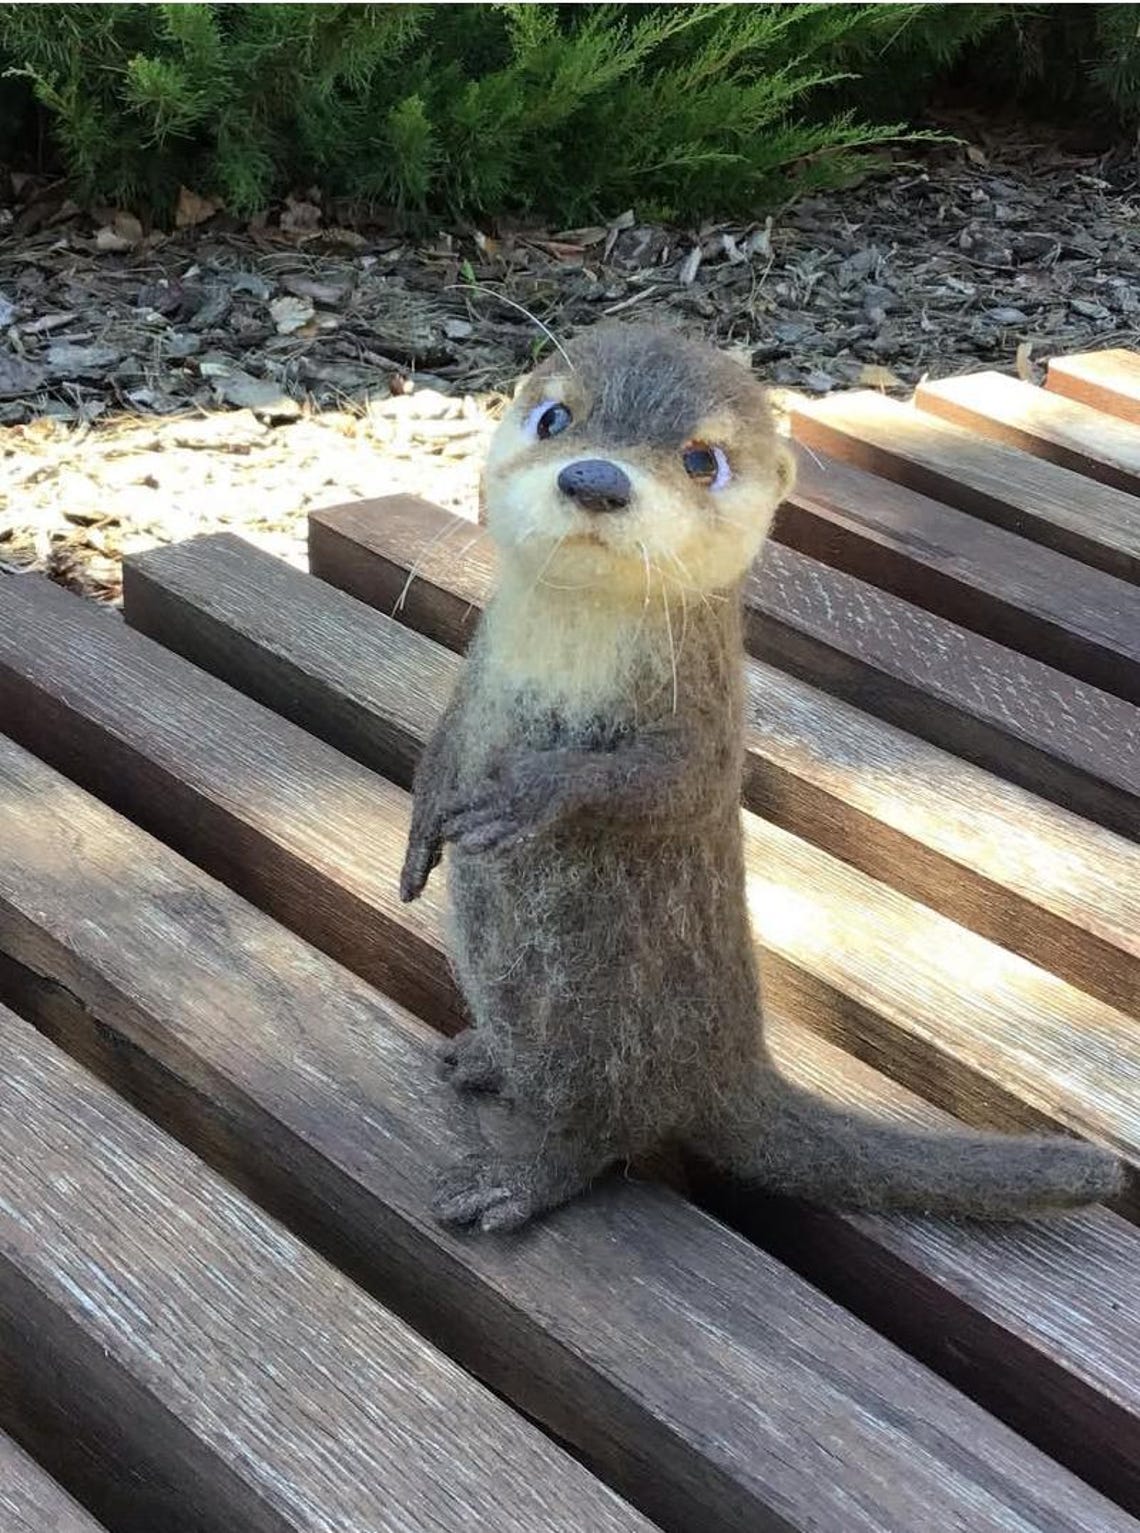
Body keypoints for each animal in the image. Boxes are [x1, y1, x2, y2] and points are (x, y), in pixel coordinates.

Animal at [399, 322, 1123, 1233]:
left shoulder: (707, 722)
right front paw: (421, 835)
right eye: (555, 417)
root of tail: (732, 1068)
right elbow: (441, 745)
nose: (595, 478)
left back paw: (513, 1180)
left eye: (701, 458)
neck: (562, 660)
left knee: (599, 1134)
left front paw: (531, 795)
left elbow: (666, 784)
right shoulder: (477, 677)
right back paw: (486, 1056)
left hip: (610, 1042)